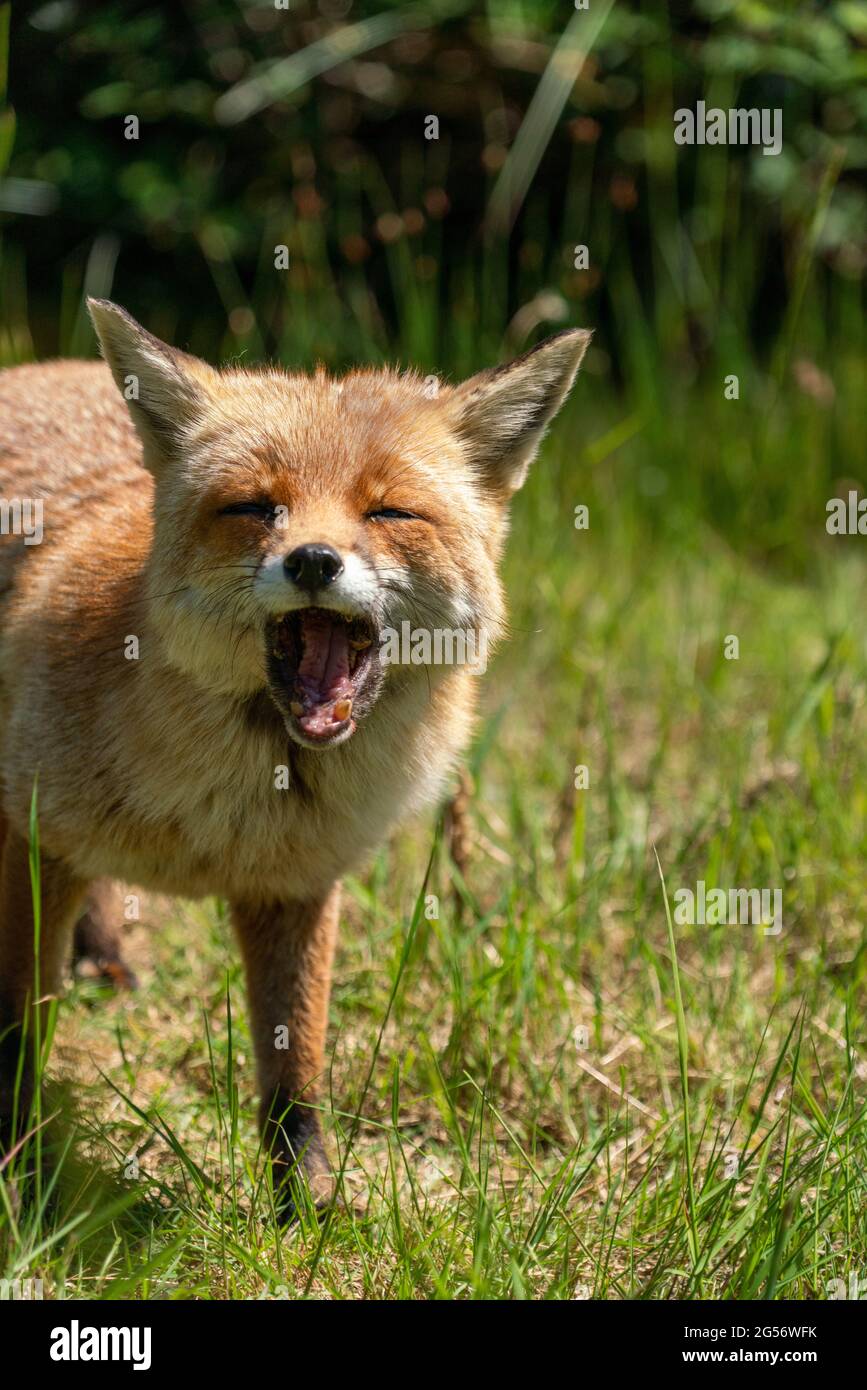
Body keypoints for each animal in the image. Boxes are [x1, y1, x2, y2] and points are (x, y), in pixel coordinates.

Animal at [0, 300, 589, 1211]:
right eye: (255, 507)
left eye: (389, 514)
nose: (313, 559)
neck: (221, 810)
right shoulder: (31, 833)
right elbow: (22, 1032)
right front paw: (24, 1174)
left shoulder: (299, 879)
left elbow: (295, 1063)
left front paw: (301, 1204)